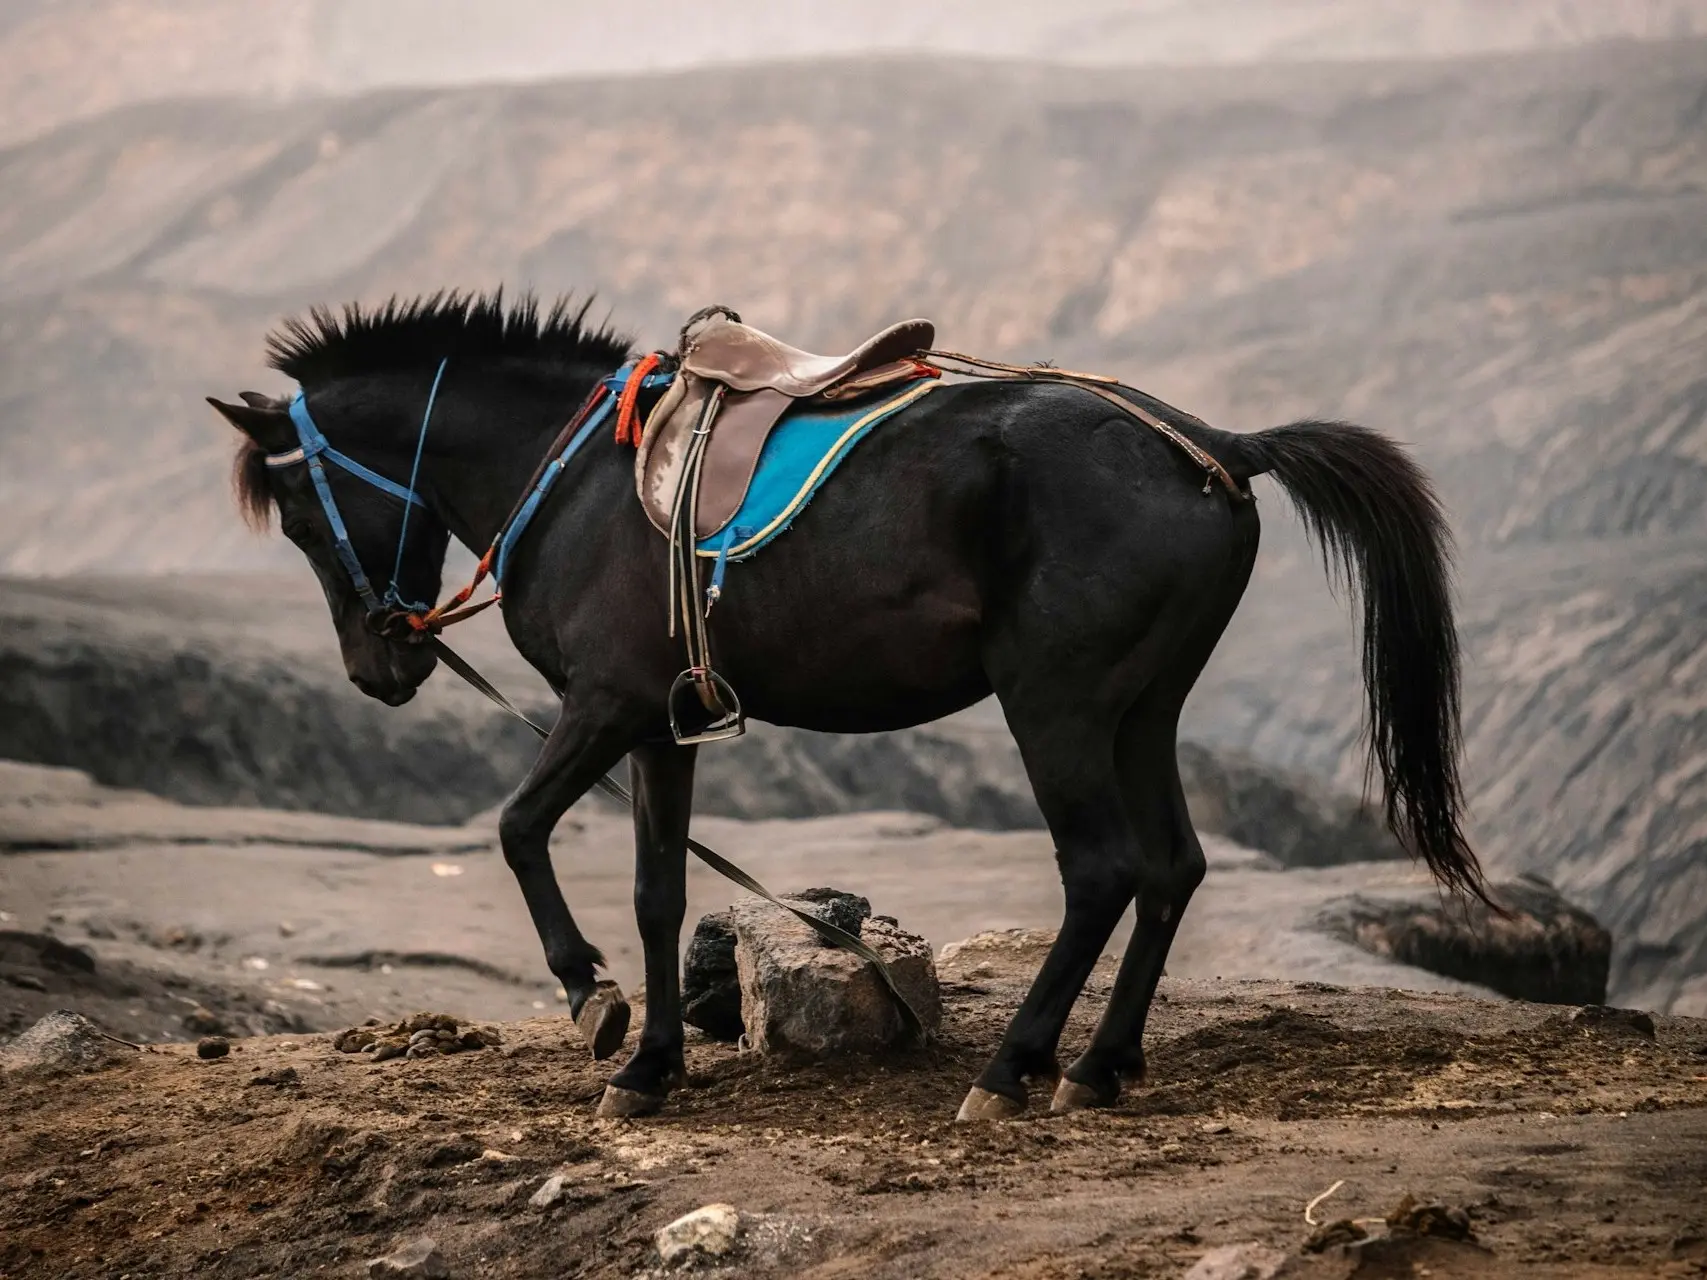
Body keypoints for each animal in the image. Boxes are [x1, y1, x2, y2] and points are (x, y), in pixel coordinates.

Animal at [208, 290, 1482, 1121]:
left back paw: (1011, 1070)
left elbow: (519, 828)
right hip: (1143, 711)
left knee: (1103, 870)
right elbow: (659, 892)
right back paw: (1099, 1065)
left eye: (304, 515)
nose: (379, 668)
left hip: (1058, 705)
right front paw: (651, 1066)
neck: (571, 475)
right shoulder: (662, 723)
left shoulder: (605, 704)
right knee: (1171, 867)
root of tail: (1213, 445)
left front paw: (592, 1003)